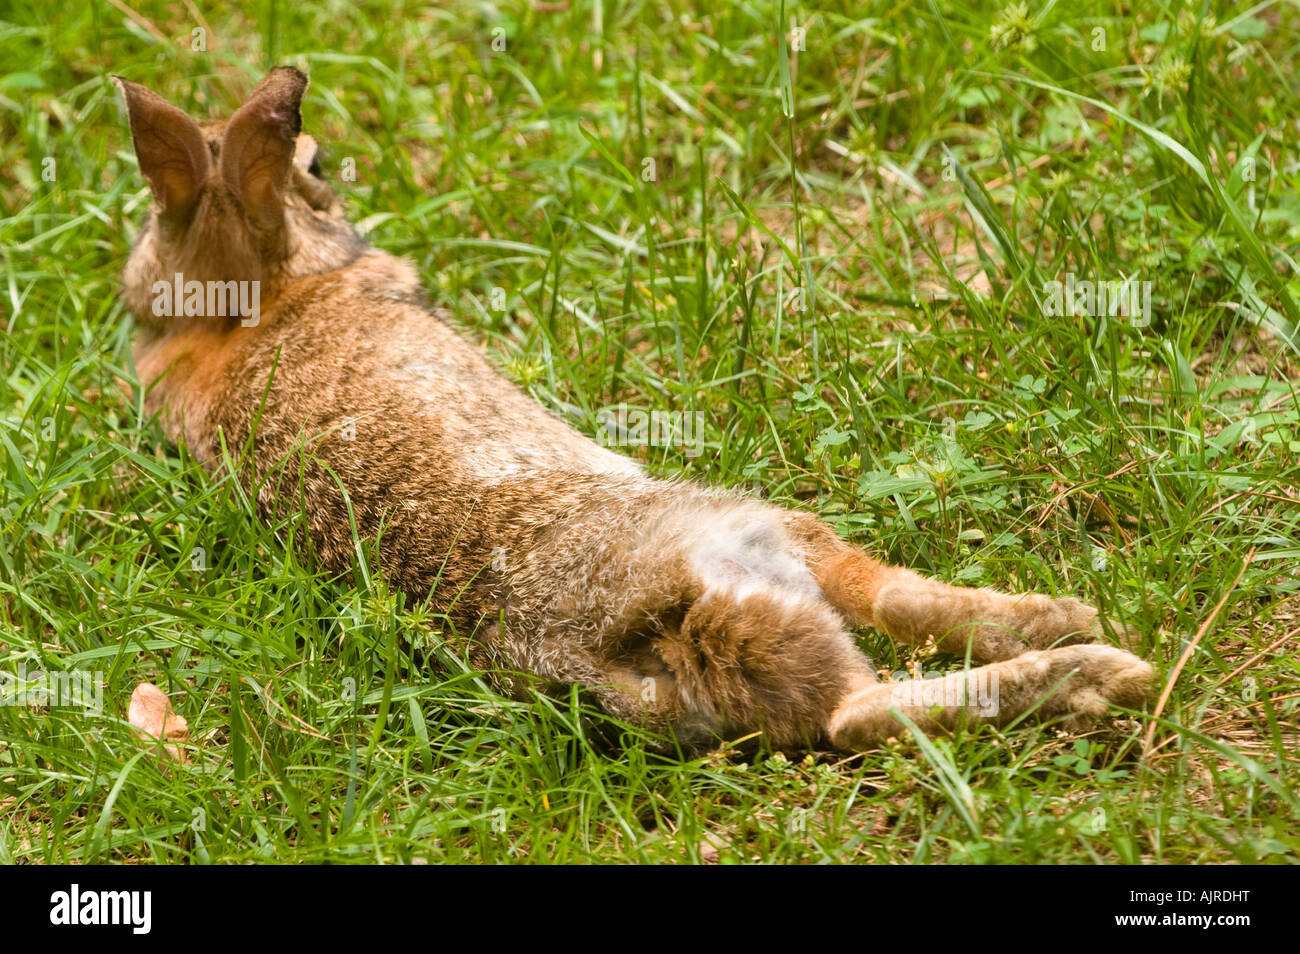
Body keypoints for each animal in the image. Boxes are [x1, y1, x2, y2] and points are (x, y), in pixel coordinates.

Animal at [113, 67, 1153, 754]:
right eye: (320, 164)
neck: (250, 305)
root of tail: (621, 641)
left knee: (851, 708)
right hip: (763, 531)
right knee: (875, 644)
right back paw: (1089, 654)